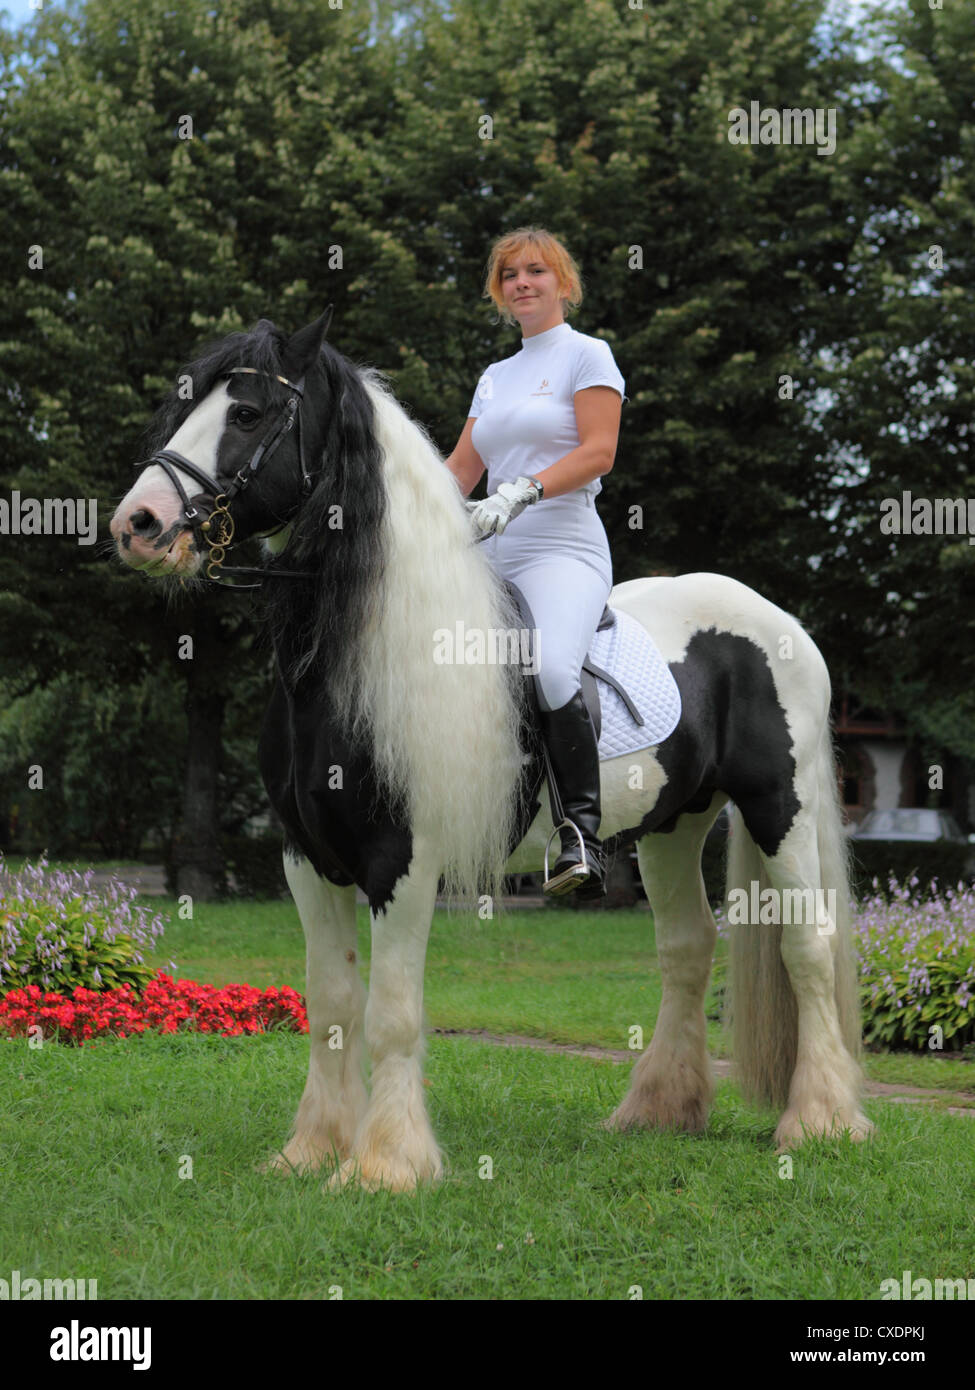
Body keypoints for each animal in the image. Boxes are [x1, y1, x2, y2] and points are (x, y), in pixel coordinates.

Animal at [110, 309, 873, 1192]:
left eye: (247, 413)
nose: (136, 525)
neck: (365, 654)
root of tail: (775, 619)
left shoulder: (400, 863)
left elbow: (391, 1013)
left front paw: (384, 1166)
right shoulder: (307, 860)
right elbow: (330, 1005)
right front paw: (310, 1152)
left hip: (779, 806)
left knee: (806, 946)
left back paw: (819, 1121)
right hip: (672, 823)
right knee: (687, 949)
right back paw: (657, 1111)